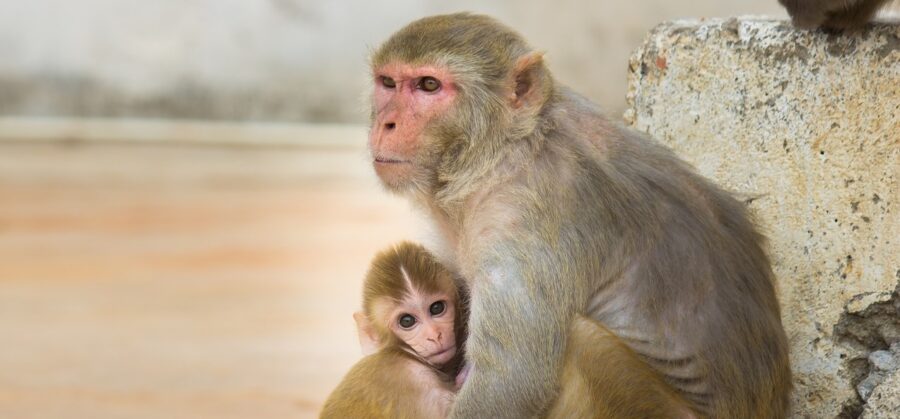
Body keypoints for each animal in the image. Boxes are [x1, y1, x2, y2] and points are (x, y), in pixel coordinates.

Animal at [367, 13, 792, 419]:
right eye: (388, 83)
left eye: (428, 85)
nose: (385, 123)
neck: (504, 154)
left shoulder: (522, 221)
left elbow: (510, 384)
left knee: (583, 342)